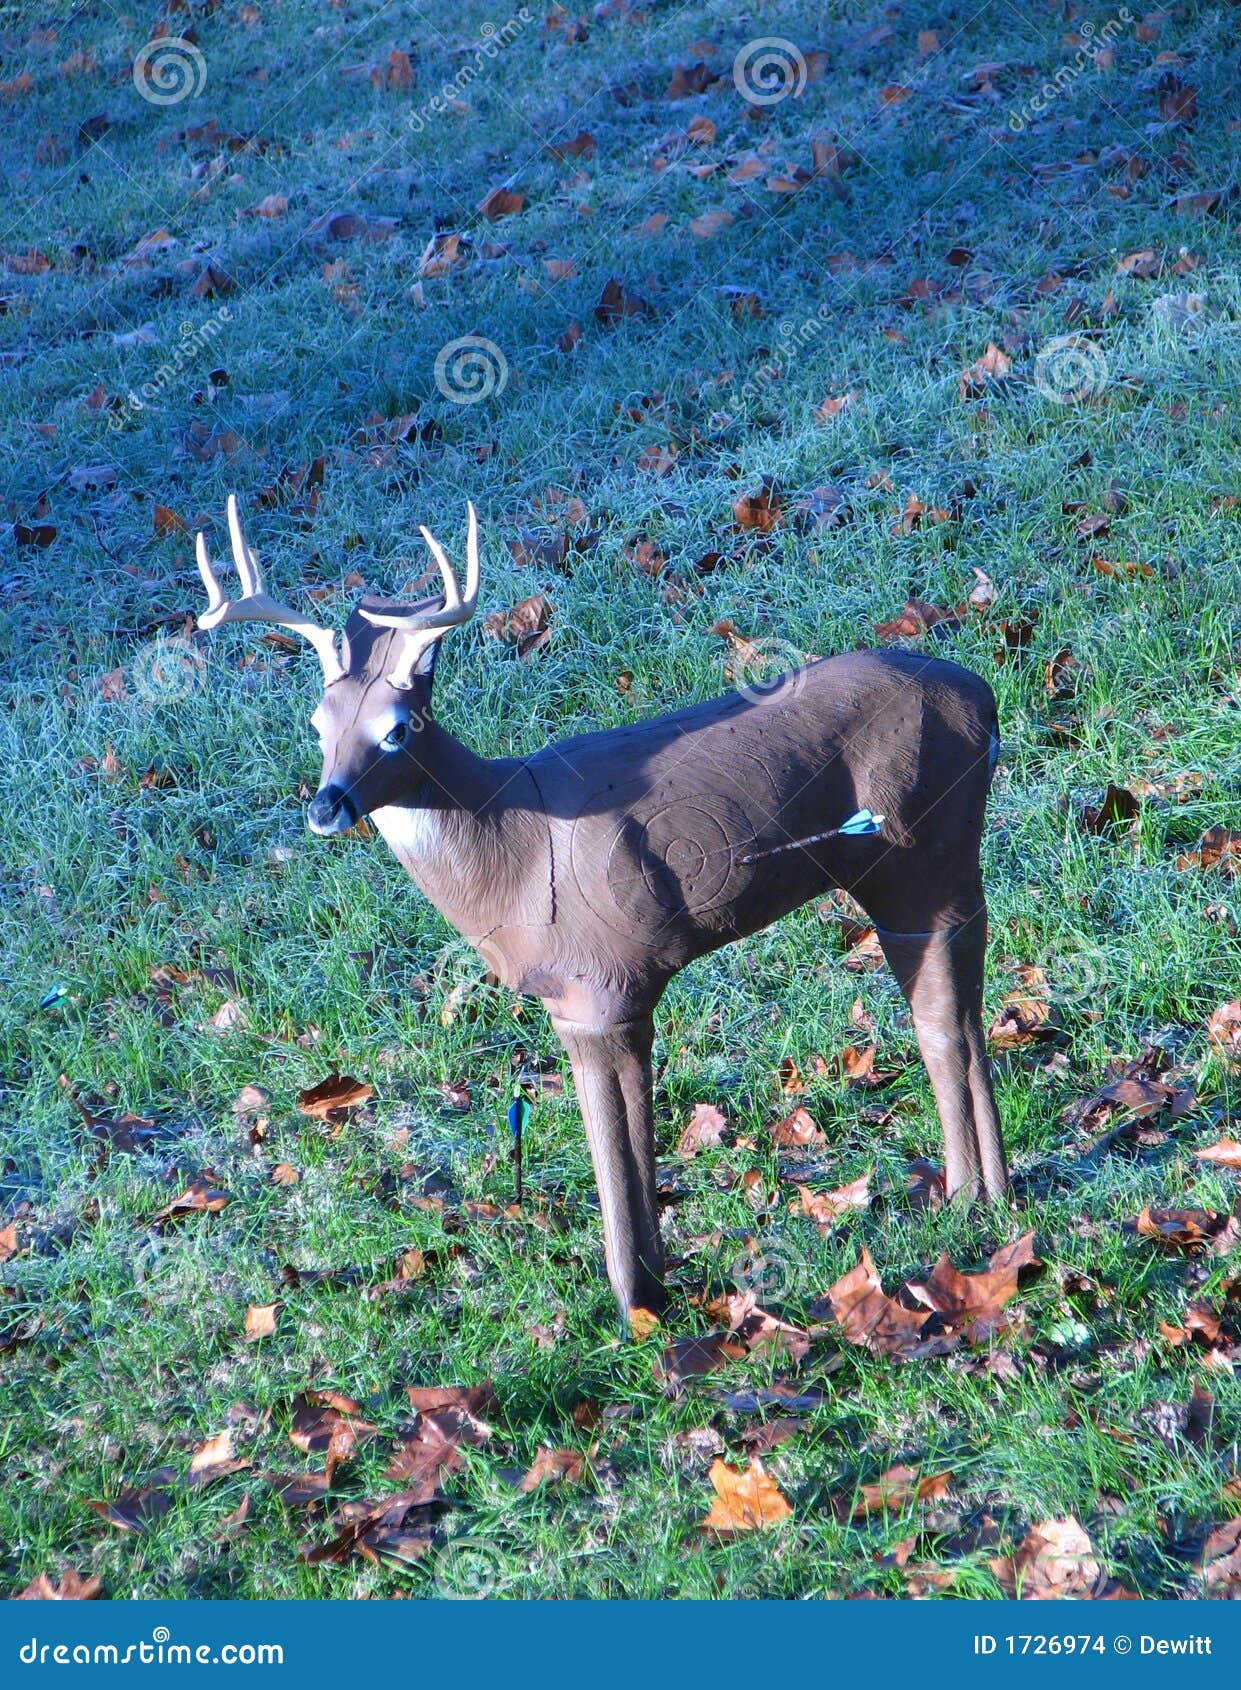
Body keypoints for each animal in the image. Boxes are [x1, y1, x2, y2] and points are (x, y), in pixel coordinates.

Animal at [196, 495, 1008, 1324]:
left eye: (396, 727)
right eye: (317, 724)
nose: (325, 806)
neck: (511, 847)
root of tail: (982, 696)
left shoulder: (609, 979)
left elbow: (619, 1143)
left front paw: (637, 1302)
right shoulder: (579, 1002)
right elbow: (616, 1130)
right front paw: (648, 1284)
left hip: (917, 854)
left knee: (940, 1021)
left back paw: (968, 1204)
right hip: (935, 867)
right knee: (963, 1008)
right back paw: (992, 1200)